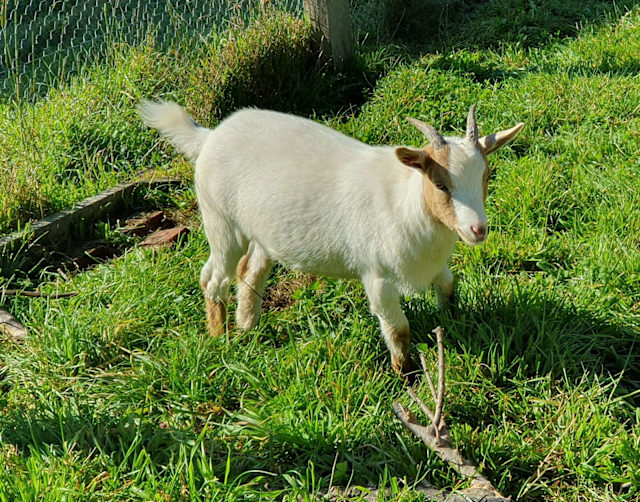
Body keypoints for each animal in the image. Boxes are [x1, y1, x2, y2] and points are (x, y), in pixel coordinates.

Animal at [138, 101, 523, 373]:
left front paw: (454, 324)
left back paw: (248, 328)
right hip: (221, 223)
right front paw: (404, 374)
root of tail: (208, 137)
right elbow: (398, 329)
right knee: (213, 278)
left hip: (262, 231)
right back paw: (221, 339)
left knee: (250, 271)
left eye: (487, 176)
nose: (478, 229)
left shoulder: (431, 267)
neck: (406, 202)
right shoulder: (378, 276)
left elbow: (449, 288)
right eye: (441, 184)